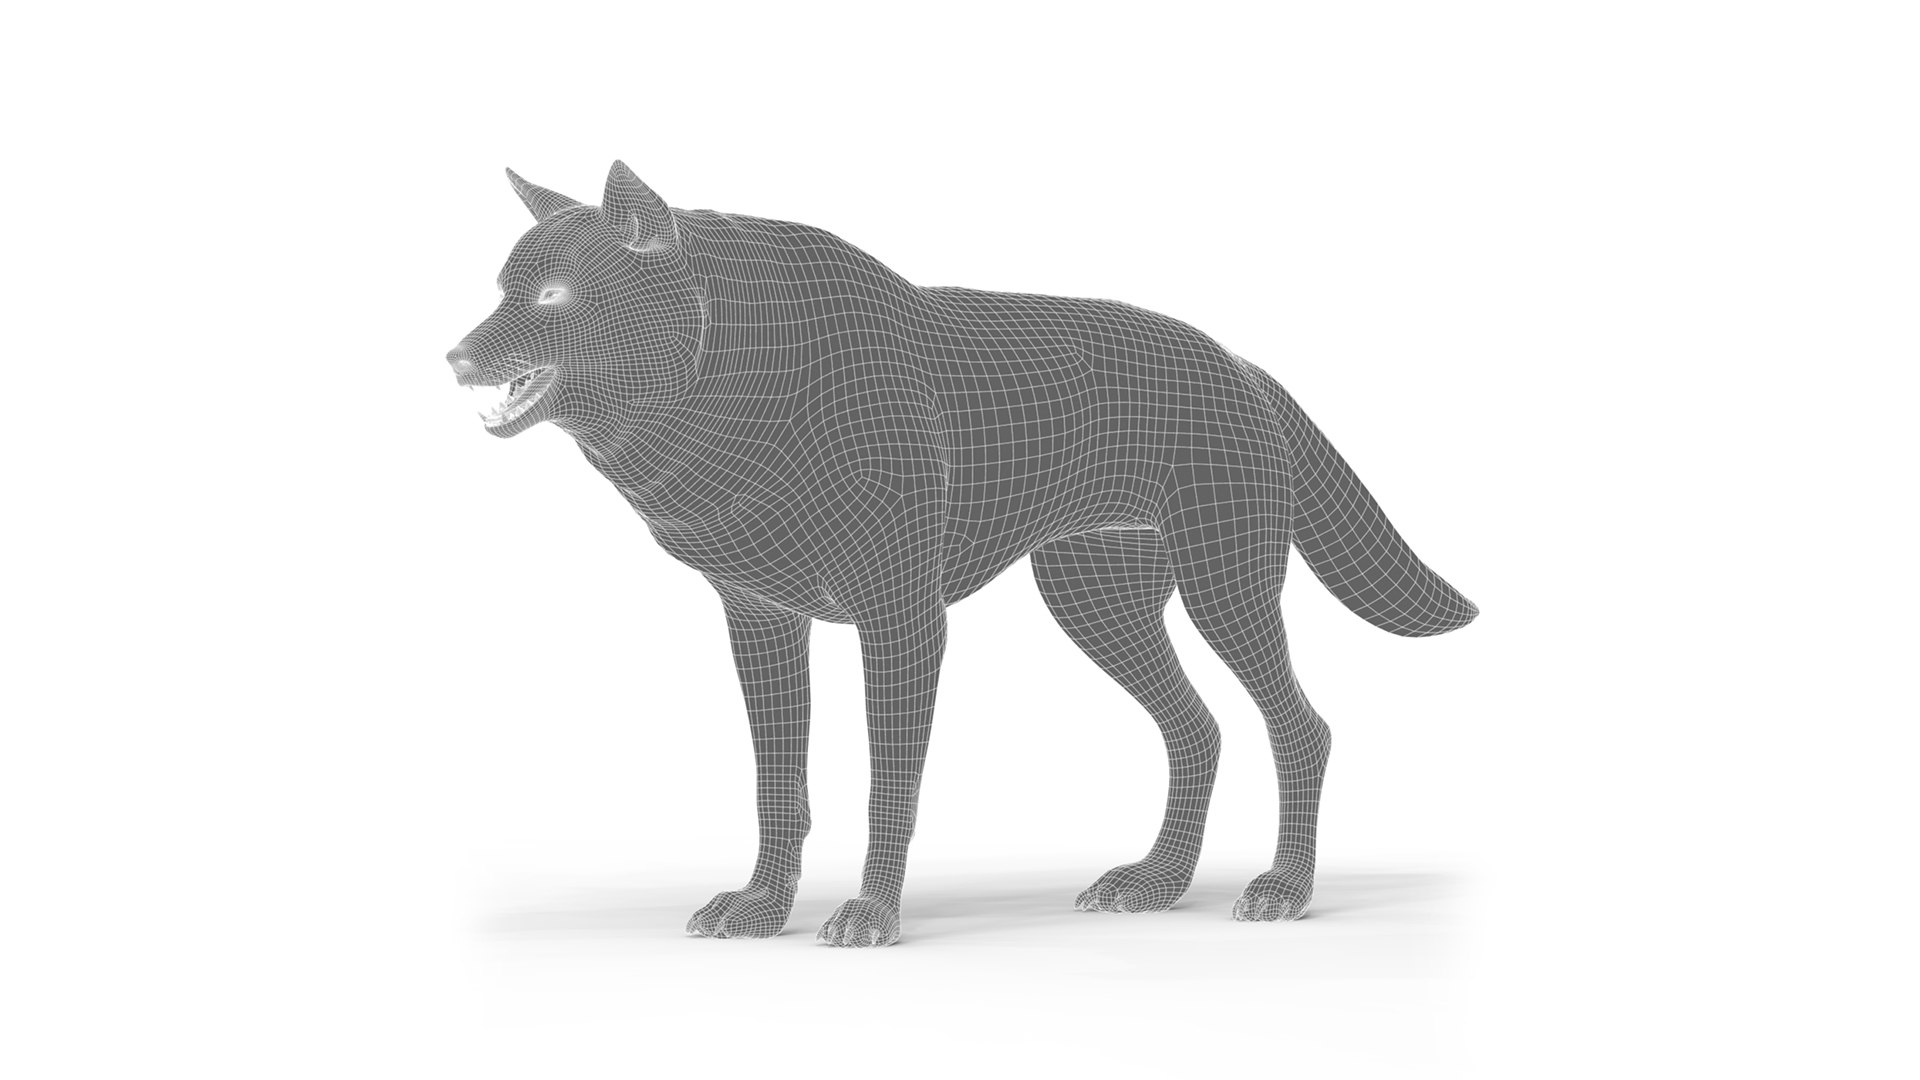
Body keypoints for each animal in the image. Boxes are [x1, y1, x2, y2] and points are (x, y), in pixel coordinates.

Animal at [445, 161, 1476, 947]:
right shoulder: (762, 625)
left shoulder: (902, 622)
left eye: (554, 295)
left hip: (1225, 588)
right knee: (1197, 730)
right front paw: (762, 908)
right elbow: (780, 784)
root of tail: (1241, 363)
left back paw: (1282, 889)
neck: (740, 383)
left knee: (1299, 727)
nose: (453, 357)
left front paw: (869, 915)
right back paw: (1153, 883)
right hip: (1097, 606)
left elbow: (887, 784)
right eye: (502, 292)